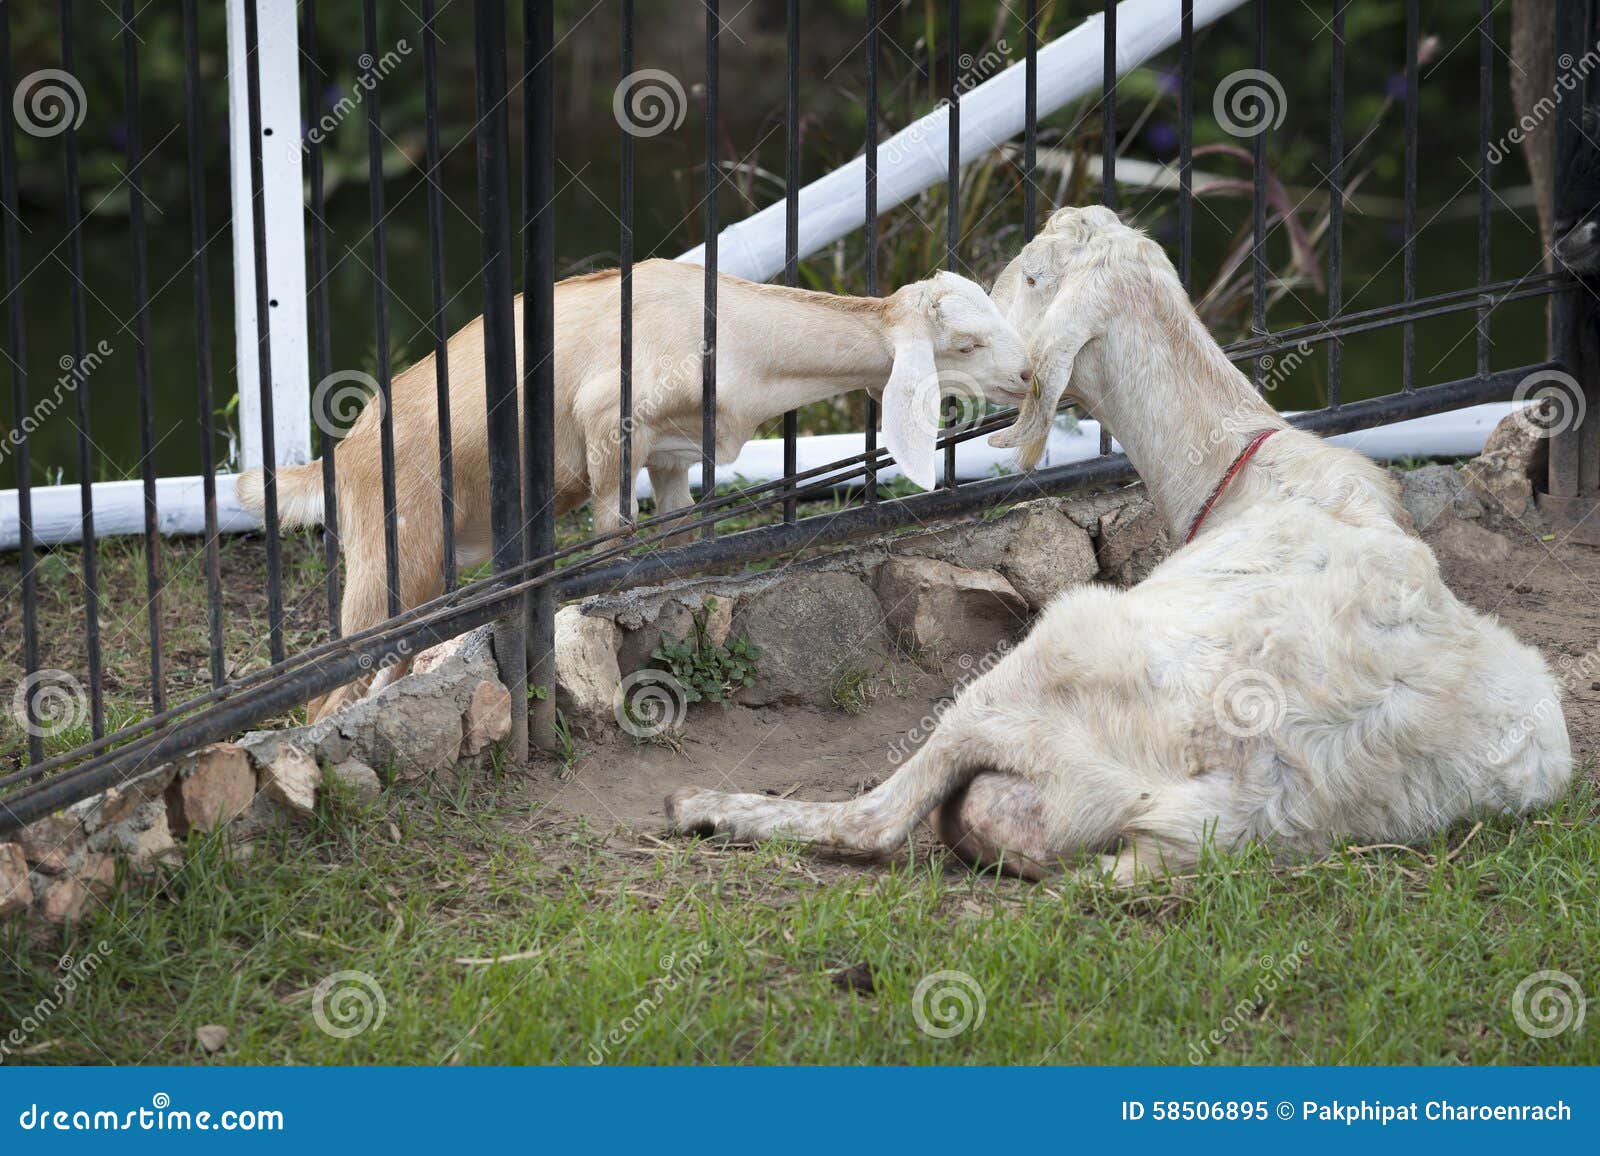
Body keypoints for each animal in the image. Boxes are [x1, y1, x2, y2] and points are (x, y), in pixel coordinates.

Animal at [236, 259, 1033, 720]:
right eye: (964, 344)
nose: (1029, 374)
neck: (736, 340)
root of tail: (342, 456)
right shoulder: (609, 423)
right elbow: (610, 541)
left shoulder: (674, 456)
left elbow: (676, 542)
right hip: (393, 557)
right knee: (334, 688)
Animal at [667, 206, 1573, 882]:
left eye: (1033, 278)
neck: (1257, 469)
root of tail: (1240, 796)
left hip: (1054, 651)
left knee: (876, 818)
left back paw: (706, 806)